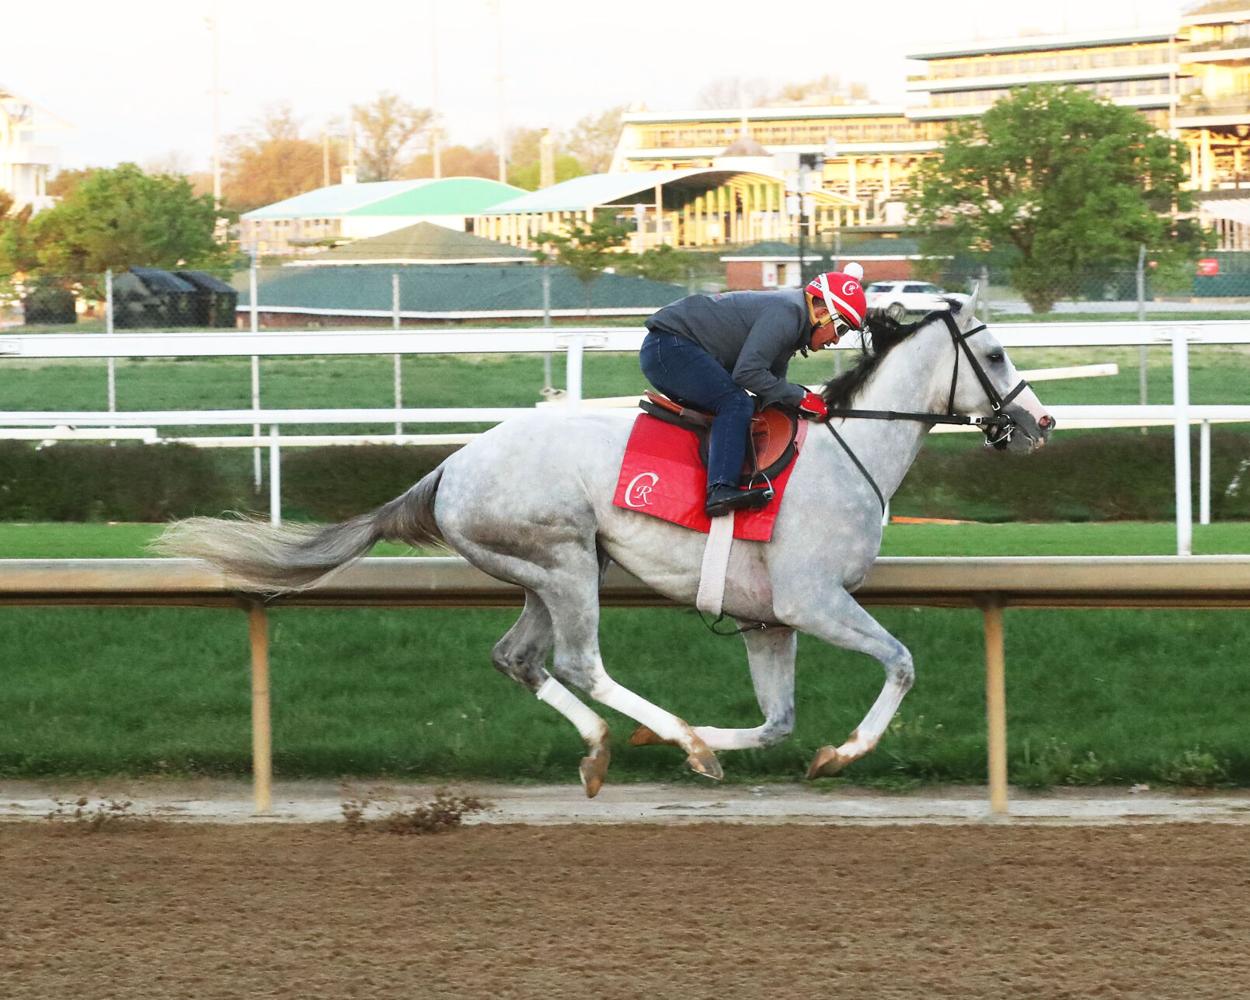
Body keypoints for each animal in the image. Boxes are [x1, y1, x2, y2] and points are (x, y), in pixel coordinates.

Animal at [159, 291, 1054, 797]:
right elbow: (900, 664)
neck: (849, 447)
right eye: (995, 351)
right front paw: (837, 755)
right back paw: (669, 736)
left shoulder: (768, 620)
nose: (1041, 422)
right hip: (562, 559)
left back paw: (607, 747)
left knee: (519, 658)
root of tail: (447, 467)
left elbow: (778, 723)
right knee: (579, 663)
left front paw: (725, 747)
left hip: (547, 570)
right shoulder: (814, 599)